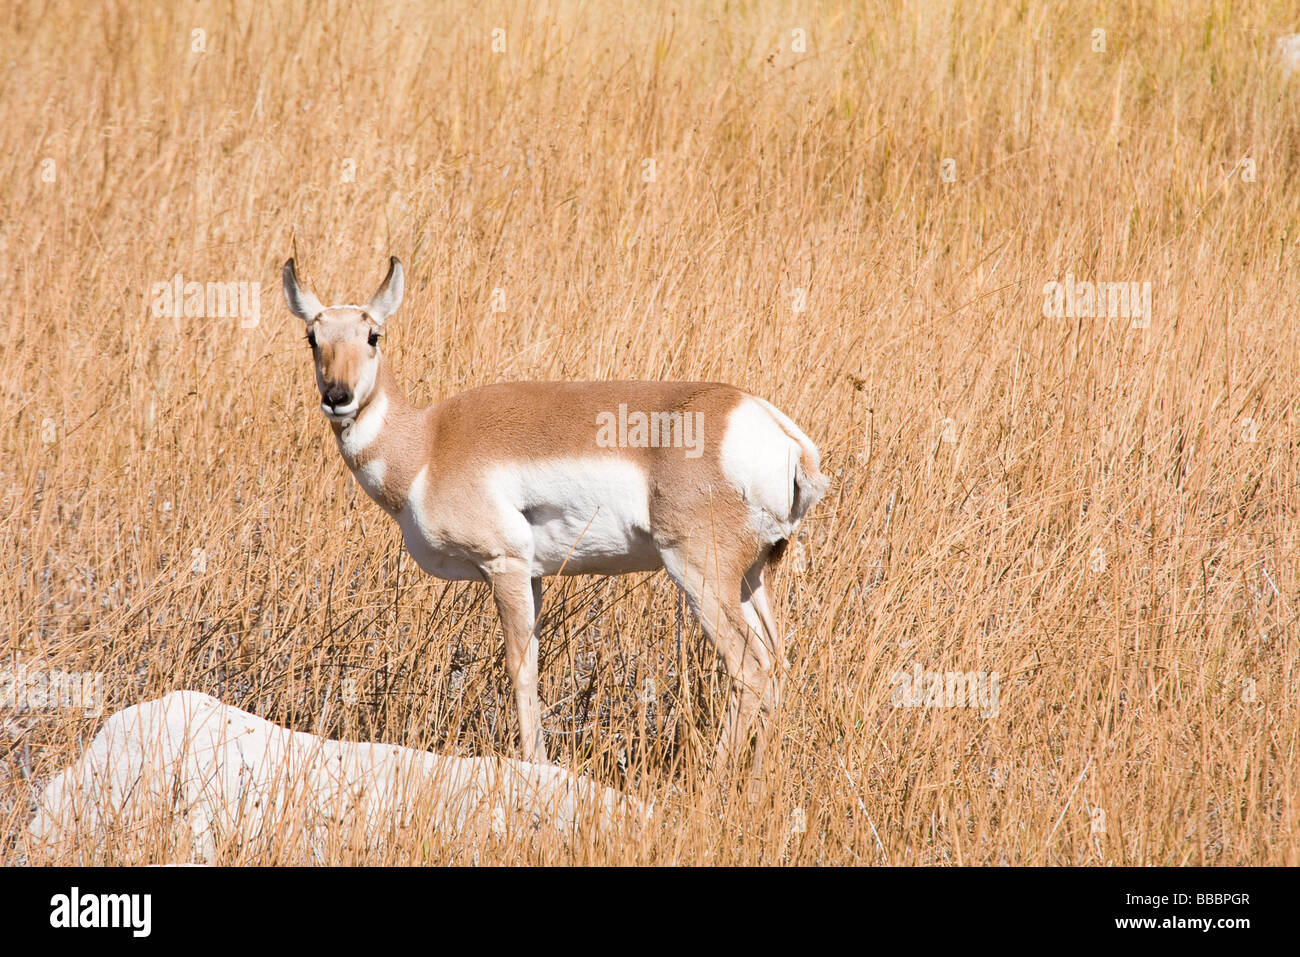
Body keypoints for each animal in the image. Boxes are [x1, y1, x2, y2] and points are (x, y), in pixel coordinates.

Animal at [283, 256, 829, 772]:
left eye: (373, 334)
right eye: (312, 337)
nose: (337, 397)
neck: (427, 444)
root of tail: (766, 423)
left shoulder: (504, 565)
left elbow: (520, 667)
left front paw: (536, 764)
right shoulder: (536, 576)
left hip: (700, 573)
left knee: (750, 667)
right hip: (752, 578)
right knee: (777, 664)